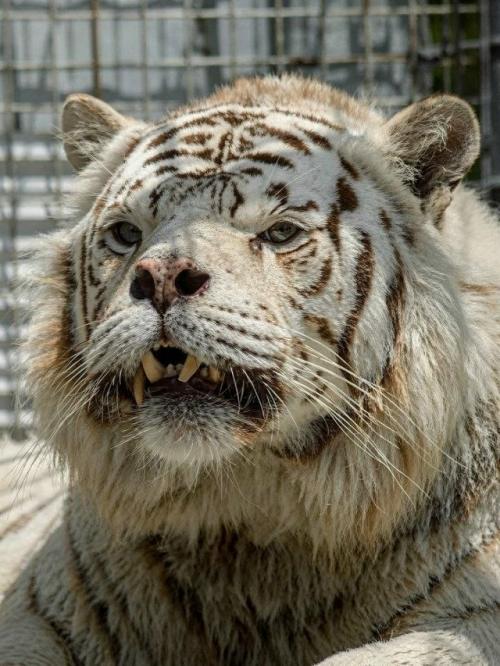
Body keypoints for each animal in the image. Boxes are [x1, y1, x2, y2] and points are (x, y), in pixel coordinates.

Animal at [0, 74, 498, 665]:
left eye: (280, 233)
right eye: (125, 233)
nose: (161, 276)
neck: (249, 518)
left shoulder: (474, 615)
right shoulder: (38, 613)